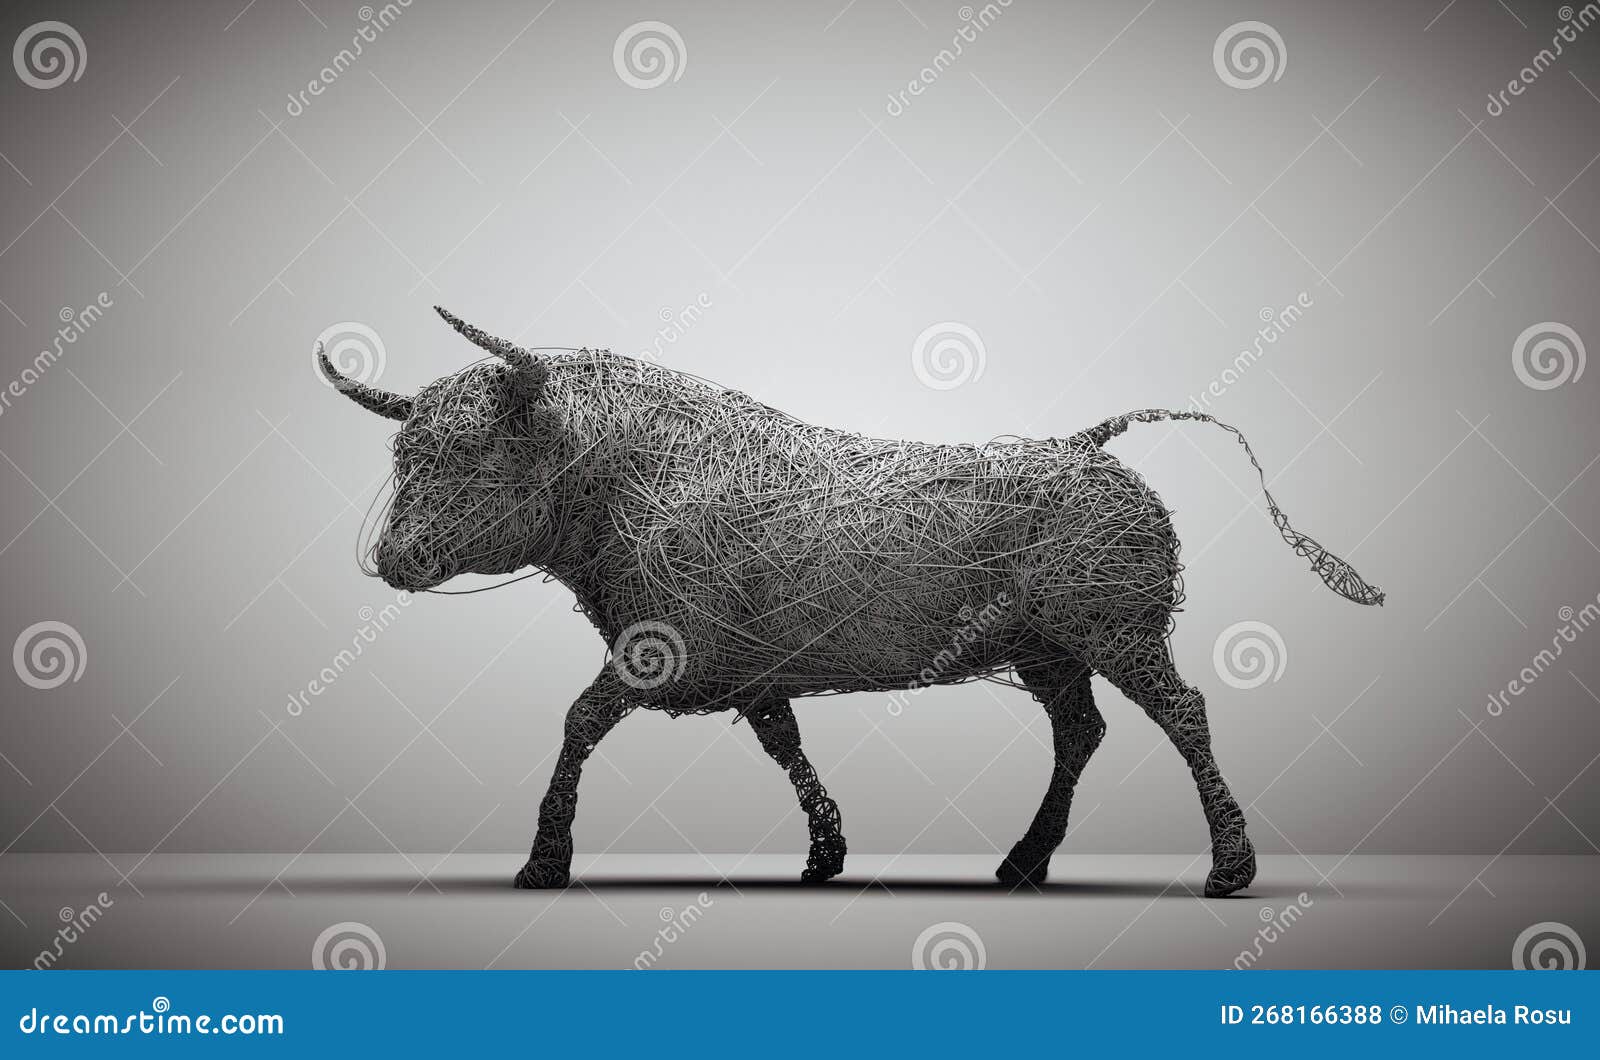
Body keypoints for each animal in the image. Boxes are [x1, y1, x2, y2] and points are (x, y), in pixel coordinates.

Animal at [318, 307, 1384, 898]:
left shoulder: (658, 650)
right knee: (1081, 732)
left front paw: (544, 860)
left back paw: (1228, 868)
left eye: (474, 455)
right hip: (1050, 653)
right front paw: (826, 850)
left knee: (1184, 712)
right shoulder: (752, 670)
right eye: (404, 453)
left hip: (1118, 632)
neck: (624, 472)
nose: (393, 557)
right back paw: (1023, 862)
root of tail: (1088, 446)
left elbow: (579, 720)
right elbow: (784, 741)